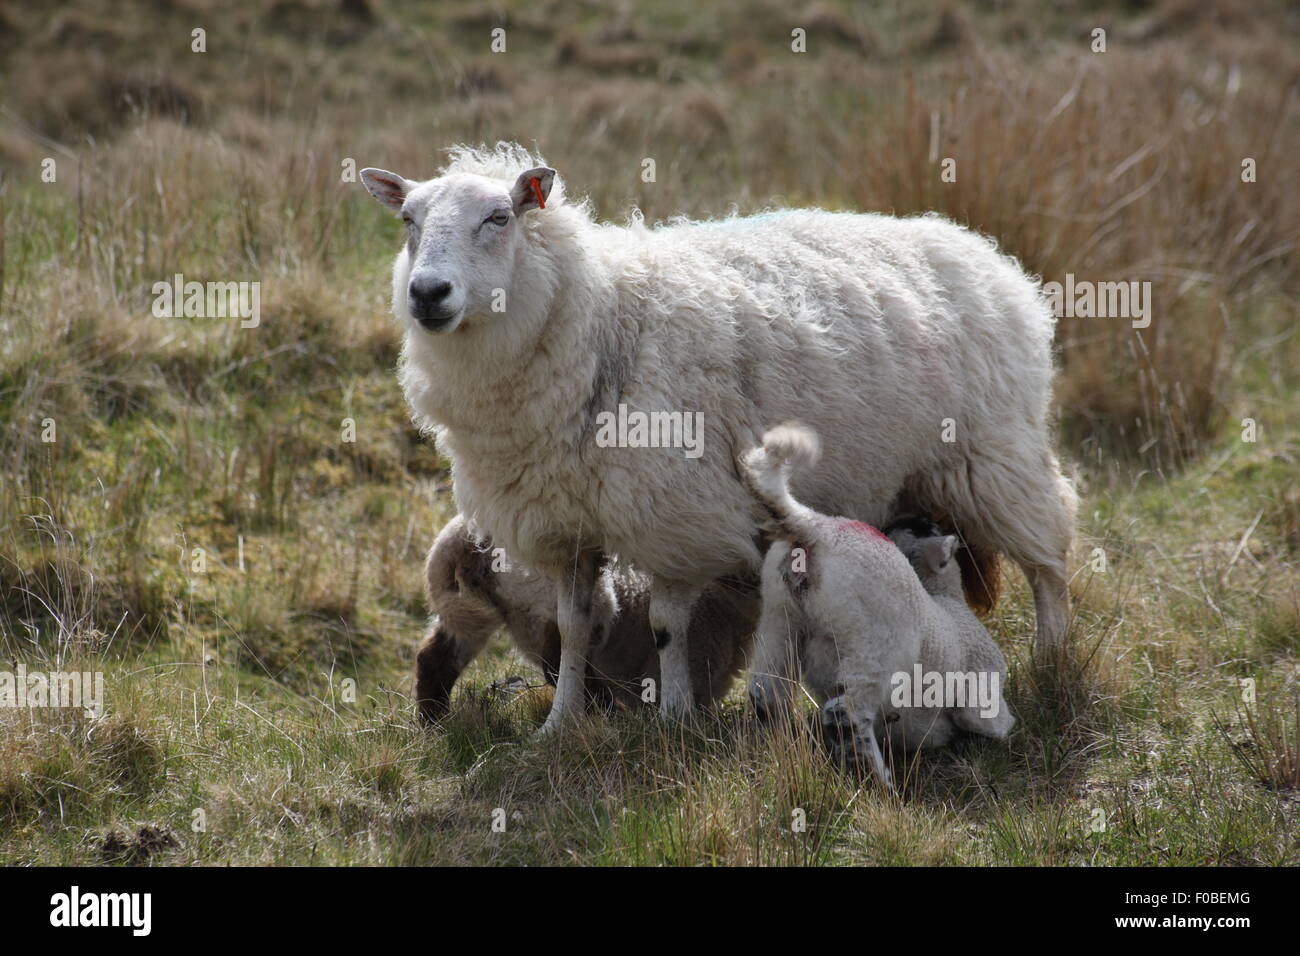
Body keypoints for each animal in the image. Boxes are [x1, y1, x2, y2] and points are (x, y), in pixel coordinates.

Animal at [415, 514, 758, 723]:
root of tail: (460, 537)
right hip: (552, 597)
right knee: (562, 664)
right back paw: (606, 716)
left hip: (470, 612)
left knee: (434, 658)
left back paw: (434, 722)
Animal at [741, 425, 1014, 790]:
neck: (945, 599)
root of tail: (816, 530)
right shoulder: (983, 689)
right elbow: (994, 722)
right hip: (878, 645)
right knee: (844, 711)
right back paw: (876, 779)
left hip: (779, 621)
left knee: (765, 695)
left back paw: (775, 751)